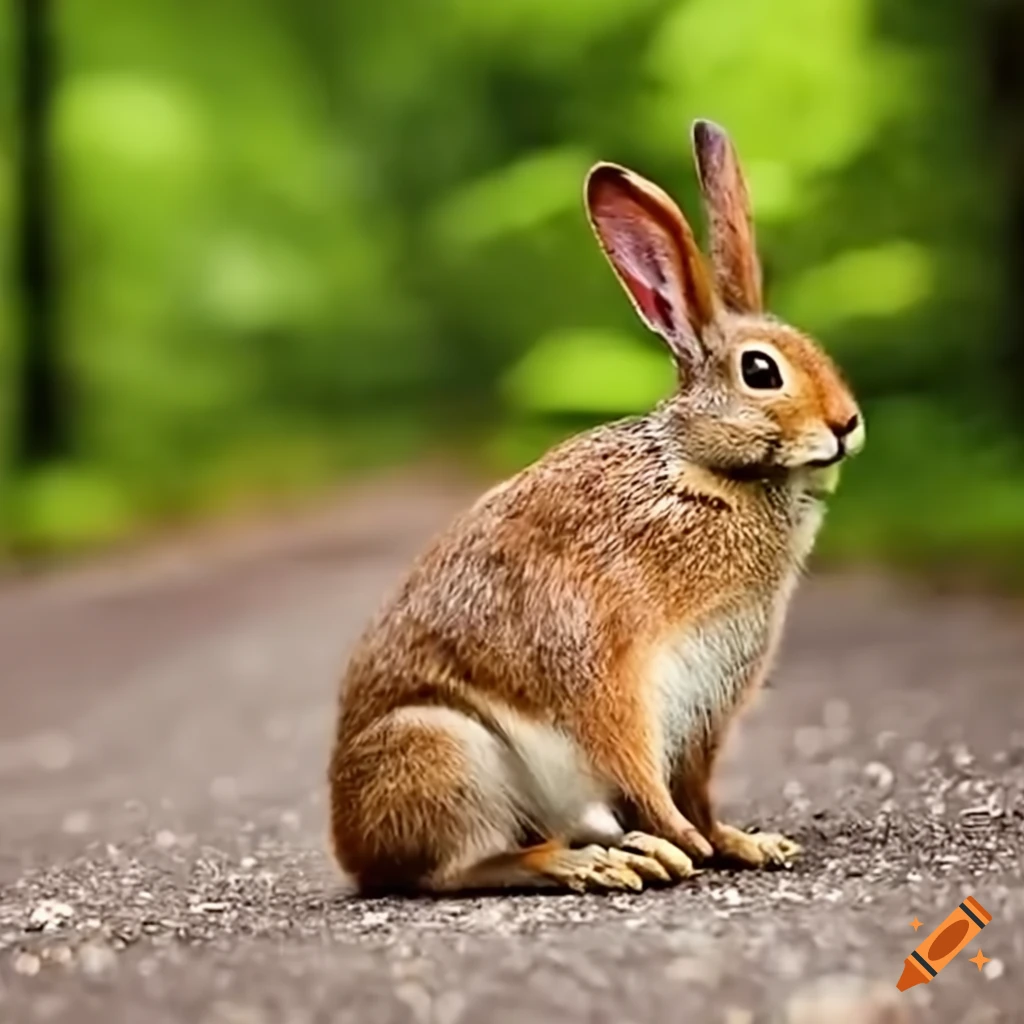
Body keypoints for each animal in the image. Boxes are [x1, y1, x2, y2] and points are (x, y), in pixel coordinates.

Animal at [328, 119, 864, 896]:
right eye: (761, 371)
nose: (847, 423)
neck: (705, 471)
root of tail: (353, 849)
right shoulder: (609, 663)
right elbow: (633, 761)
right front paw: (682, 843)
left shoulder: (707, 710)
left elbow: (696, 789)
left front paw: (739, 843)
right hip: (445, 751)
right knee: (460, 867)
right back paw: (600, 860)